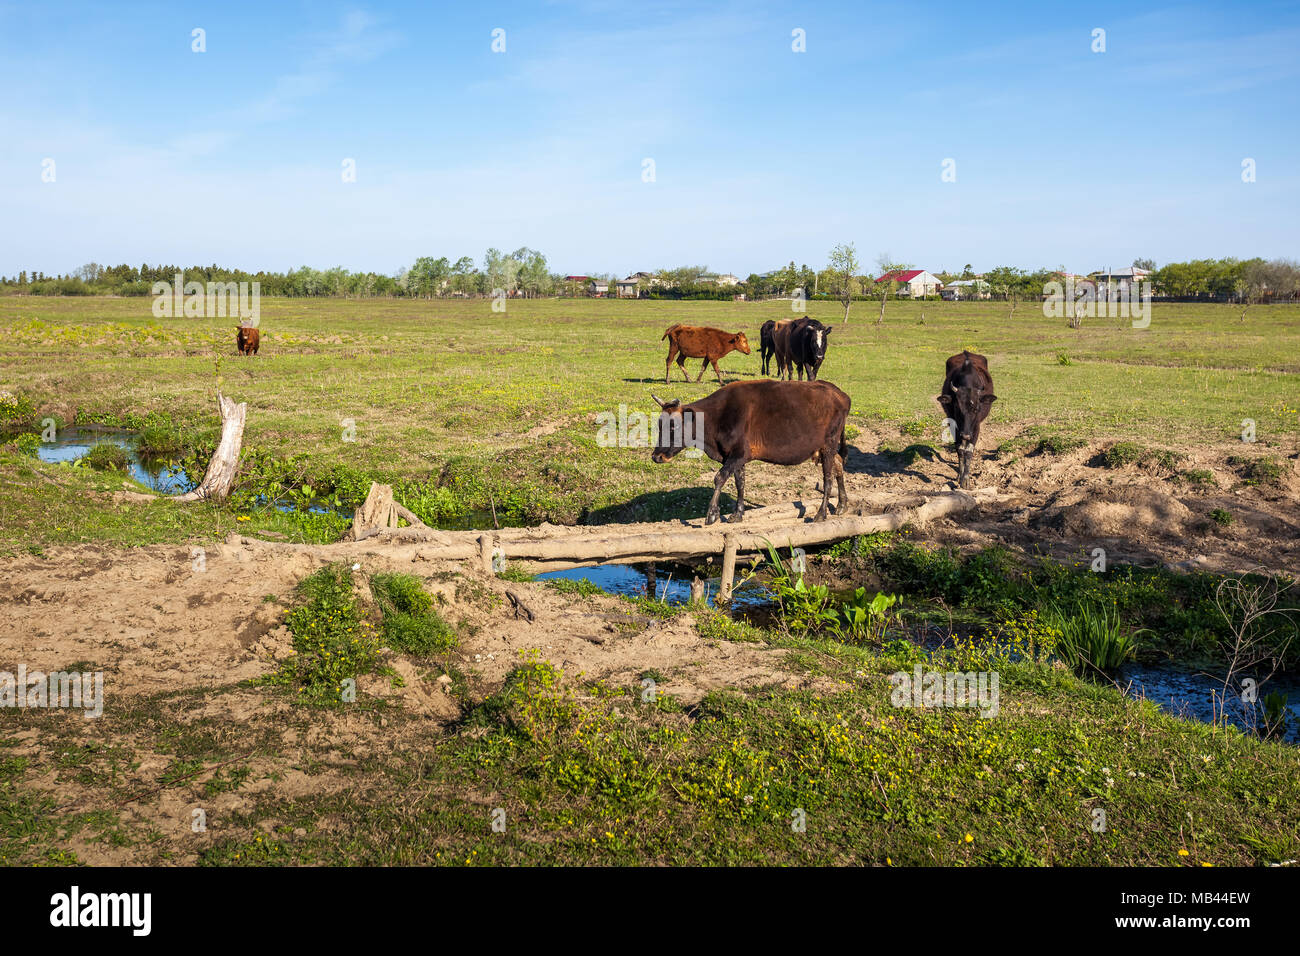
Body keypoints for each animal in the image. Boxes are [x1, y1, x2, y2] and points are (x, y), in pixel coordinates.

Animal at [651, 379, 850, 524]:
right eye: (659, 425)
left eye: (674, 426)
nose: (656, 456)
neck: (717, 417)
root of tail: (839, 393)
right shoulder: (735, 457)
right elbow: (740, 483)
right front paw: (737, 514)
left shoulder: (739, 454)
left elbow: (719, 478)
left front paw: (712, 514)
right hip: (826, 449)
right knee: (839, 466)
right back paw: (842, 504)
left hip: (828, 446)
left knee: (827, 479)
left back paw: (821, 514)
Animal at [937, 350, 996, 489]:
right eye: (957, 408)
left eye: (977, 409)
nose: (966, 435)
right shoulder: (954, 425)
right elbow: (960, 449)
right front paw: (960, 475)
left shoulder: (976, 427)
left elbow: (968, 451)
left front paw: (966, 479)